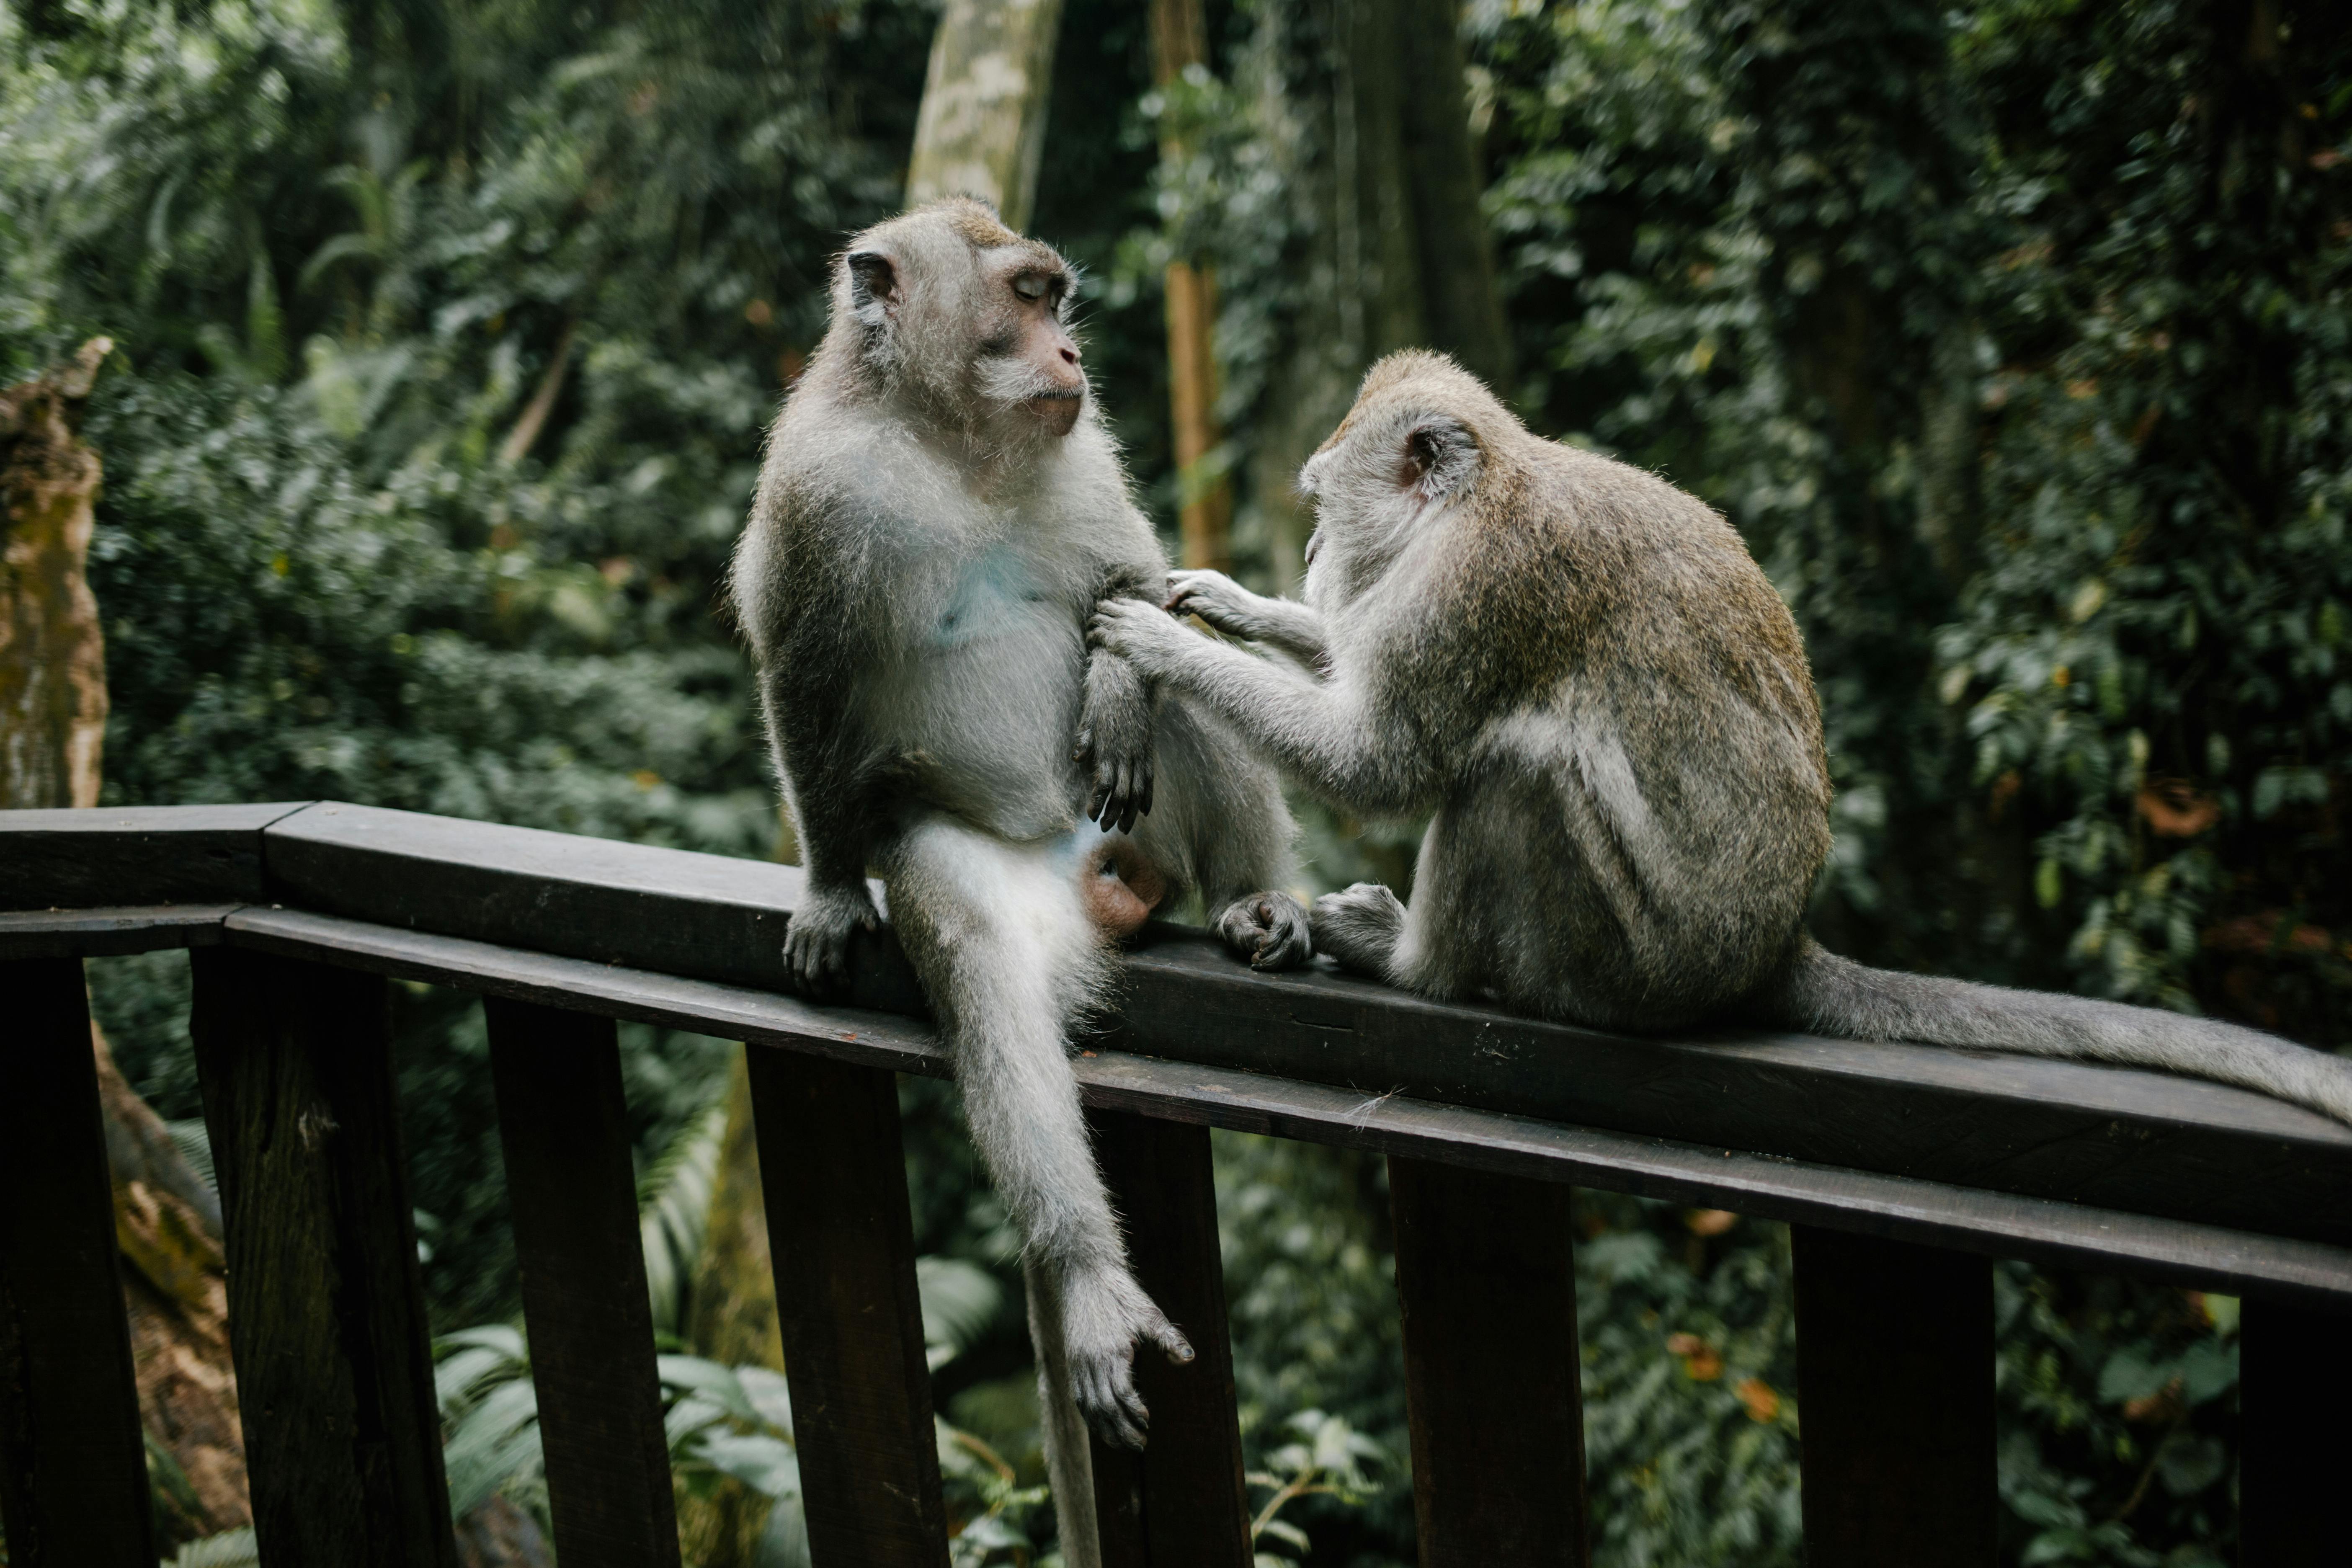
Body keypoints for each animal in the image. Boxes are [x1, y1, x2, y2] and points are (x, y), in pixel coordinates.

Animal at [729, 199, 1312, 1557]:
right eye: (1025, 297)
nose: (1072, 354)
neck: (956, 447)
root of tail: (1090, 880)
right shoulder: (814, 487)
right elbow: (800, 672)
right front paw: (827, 887)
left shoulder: (1082, 450)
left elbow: (1137, 586)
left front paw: (1113, 687)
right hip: (971, 863)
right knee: (986, 979)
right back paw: (1088, 1263)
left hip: (1141, 836)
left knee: (1188, 691)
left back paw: (1253, 894)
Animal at [1090, 349, 2352, 1128]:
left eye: (1320, 506)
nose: (1307, 554)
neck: (1482, 495)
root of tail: (1776, 945)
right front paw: (1229, 602)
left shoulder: (1477, 591)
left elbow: (1385, 763)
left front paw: (1158, 642)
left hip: (1628, 960)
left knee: (1512, 767)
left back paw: (1416, 965)